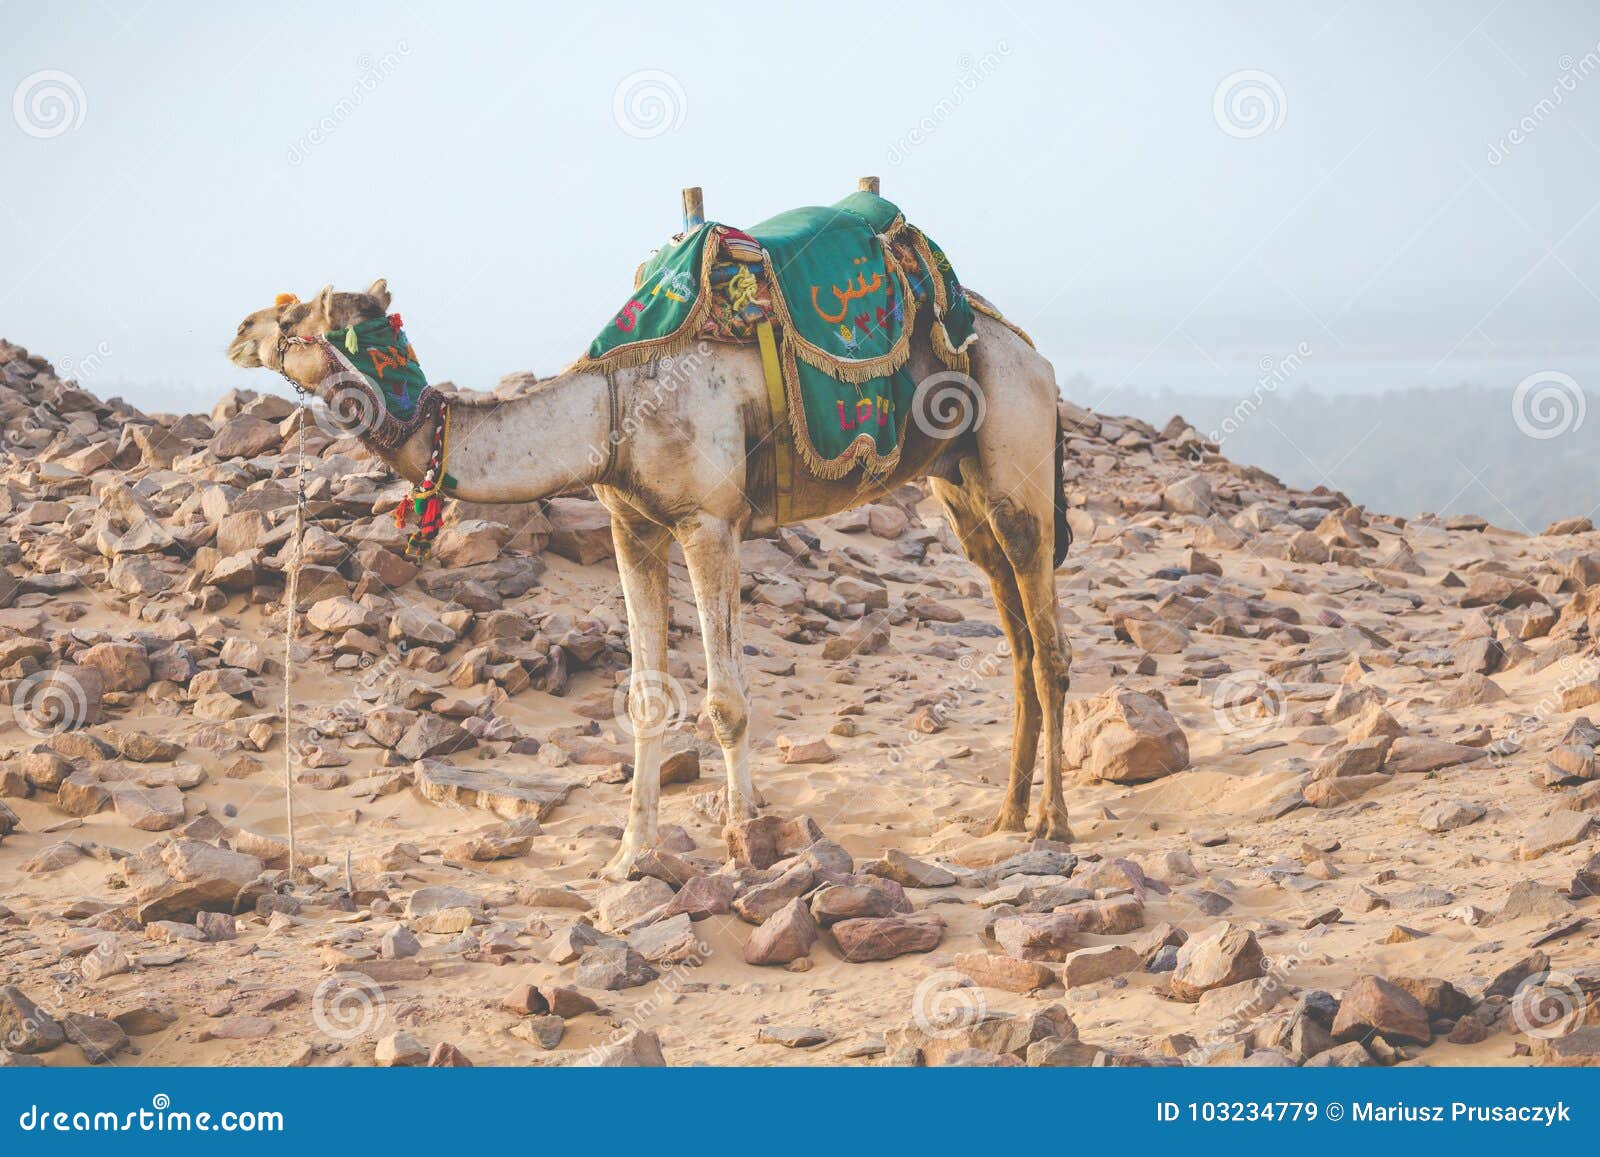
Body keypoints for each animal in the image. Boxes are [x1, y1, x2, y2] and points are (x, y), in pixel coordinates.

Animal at [228, 273, 1073, 879]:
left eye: (293, 317)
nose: (238, 329)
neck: (610, 411)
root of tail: (1035, 355)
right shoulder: (632, 526)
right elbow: (643, 698)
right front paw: (630, 856)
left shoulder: (708, 521)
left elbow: (725, 700)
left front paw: (744, 837)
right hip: (959, 485)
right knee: (1019, 645)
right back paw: (1005, 816)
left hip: (1018, 455)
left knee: (1051, 647)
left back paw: (1055, 824)